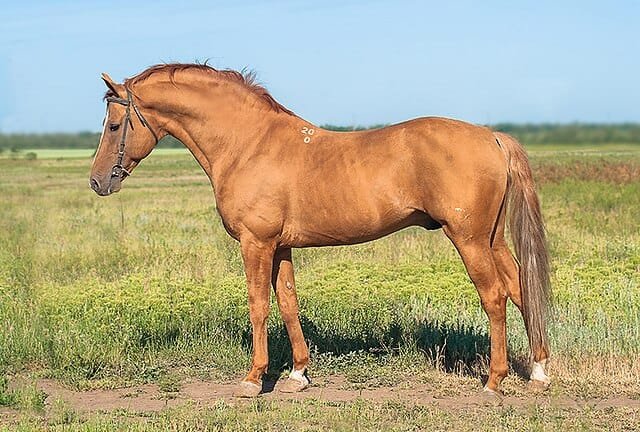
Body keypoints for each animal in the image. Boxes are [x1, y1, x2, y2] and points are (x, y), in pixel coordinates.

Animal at [90, 63, 551, 399]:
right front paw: (298, 374)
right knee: (520, 288)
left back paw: (494, 381)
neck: (248, 145)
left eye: (113, 126)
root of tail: (491, 137)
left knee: (494, 296)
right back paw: (538, 371)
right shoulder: (280, 247)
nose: (97, 182)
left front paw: (253, 380)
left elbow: (258, 305)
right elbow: (288, 304)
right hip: (492, 239)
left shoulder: (256, 244)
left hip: (468, 239)